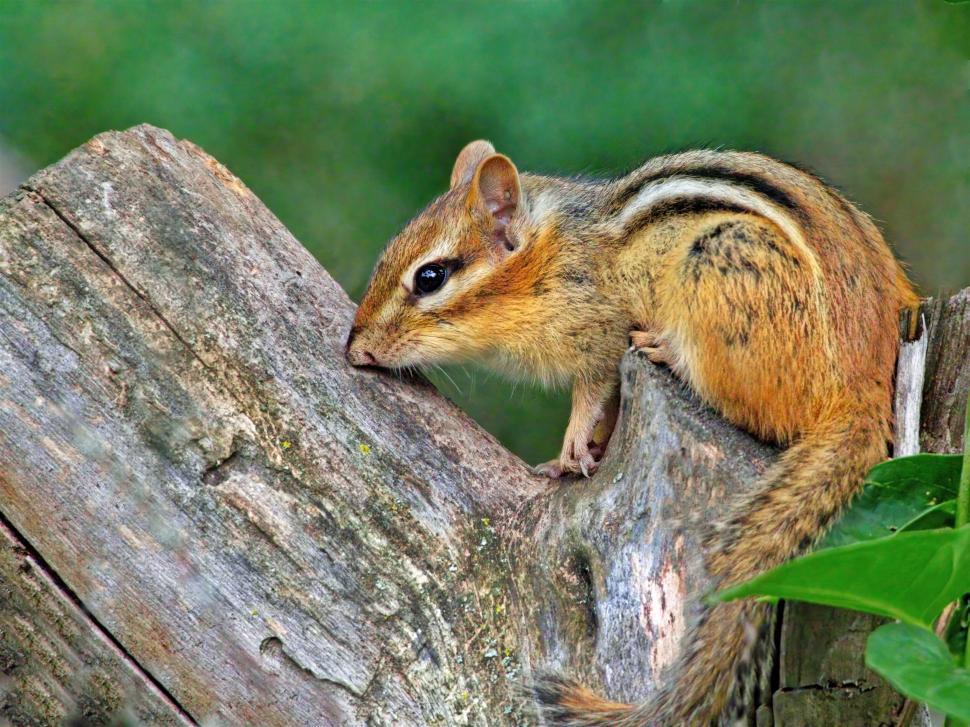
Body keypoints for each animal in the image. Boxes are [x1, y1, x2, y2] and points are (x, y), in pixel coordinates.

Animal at [346, 140, 920, 725]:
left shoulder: (599, 337)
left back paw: (667, 349)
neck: (550, 252)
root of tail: (862, 384)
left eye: (431, 277)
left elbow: (591, 396)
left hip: (722, 267)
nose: (355, 348)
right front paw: (584, 451)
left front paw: (570, 454)